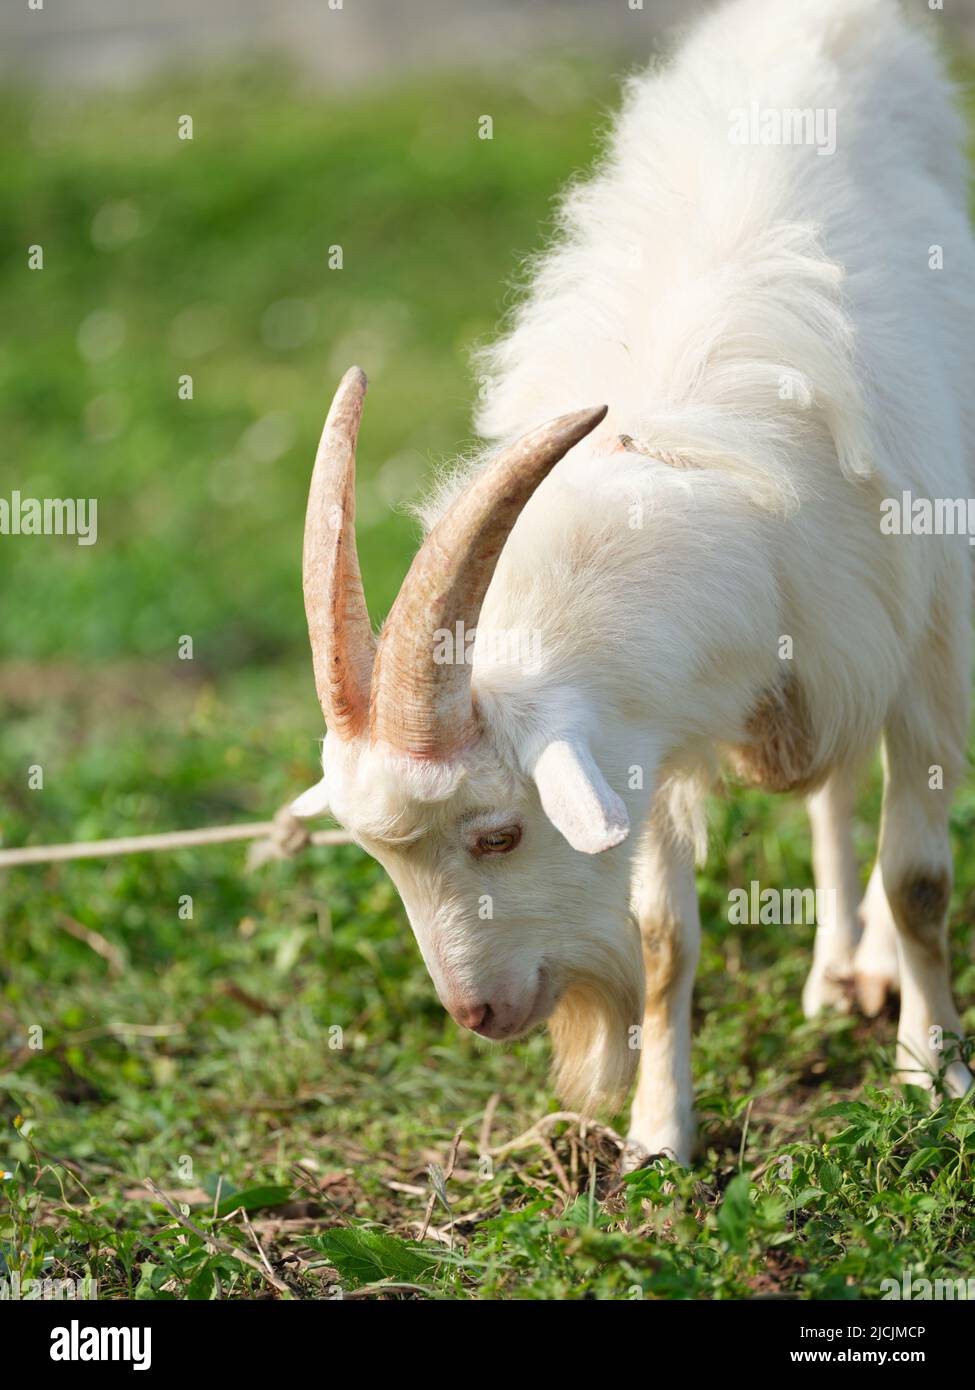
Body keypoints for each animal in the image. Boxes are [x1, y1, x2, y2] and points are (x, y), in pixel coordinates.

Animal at [293, 0, 975, 1164]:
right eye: (383, 860)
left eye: (498, 832)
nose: (479, 1015)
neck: (680, 464)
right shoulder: (650, 730)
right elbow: (661, 936)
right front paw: (660, 1131)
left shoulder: (923, 646)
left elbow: (921, 883)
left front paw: (931, 1077)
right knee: (833, 790)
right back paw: (836, 969)